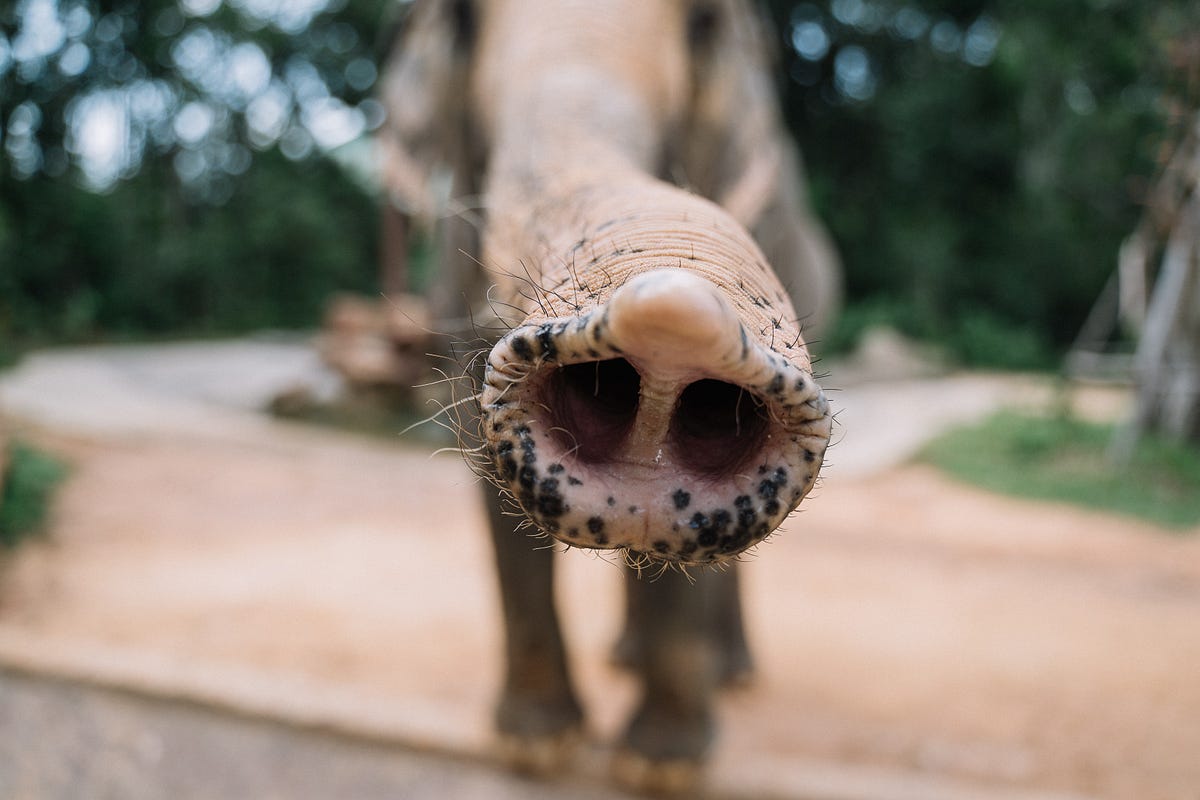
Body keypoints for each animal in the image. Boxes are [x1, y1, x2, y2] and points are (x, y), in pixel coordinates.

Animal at [378, 0, 840, 789]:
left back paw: (730, 674)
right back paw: (626, 657)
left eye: (706, 26)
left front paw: (660, 770)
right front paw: (536, 749)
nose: (670, 335)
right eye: (461, 21)